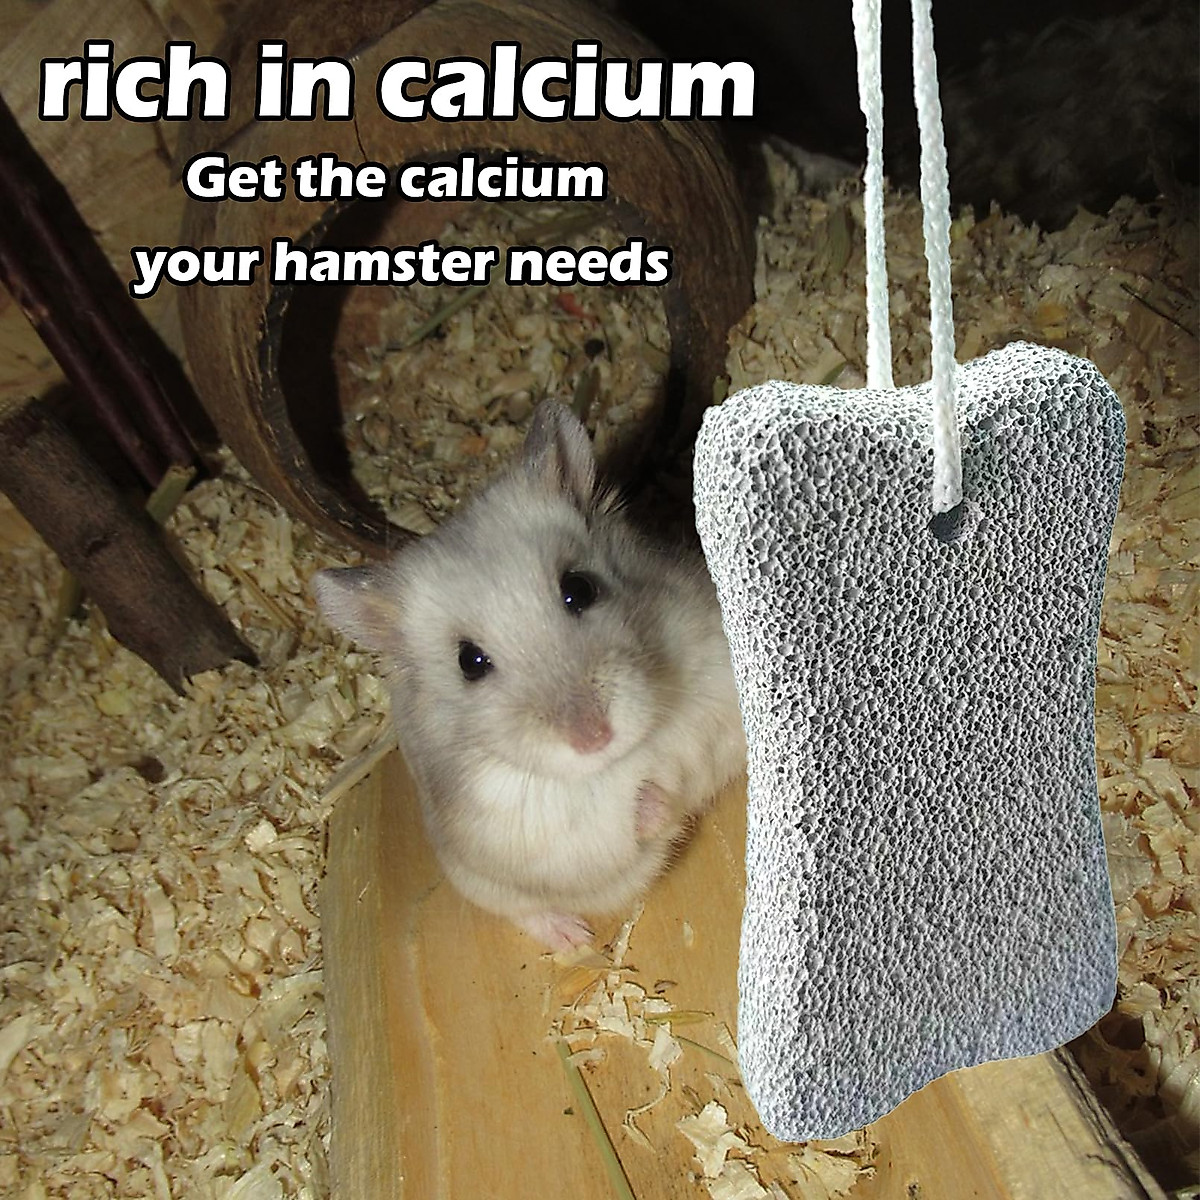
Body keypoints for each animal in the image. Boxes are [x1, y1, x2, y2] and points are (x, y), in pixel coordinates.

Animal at [313, 401, 746, 950]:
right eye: (469, 662)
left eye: (579, 589)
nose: (594, 737)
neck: (625, 756)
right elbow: (616, 827)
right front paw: (642, 802)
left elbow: (694, 773)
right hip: (478, 881)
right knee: (525, 910)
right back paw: (574, 937)